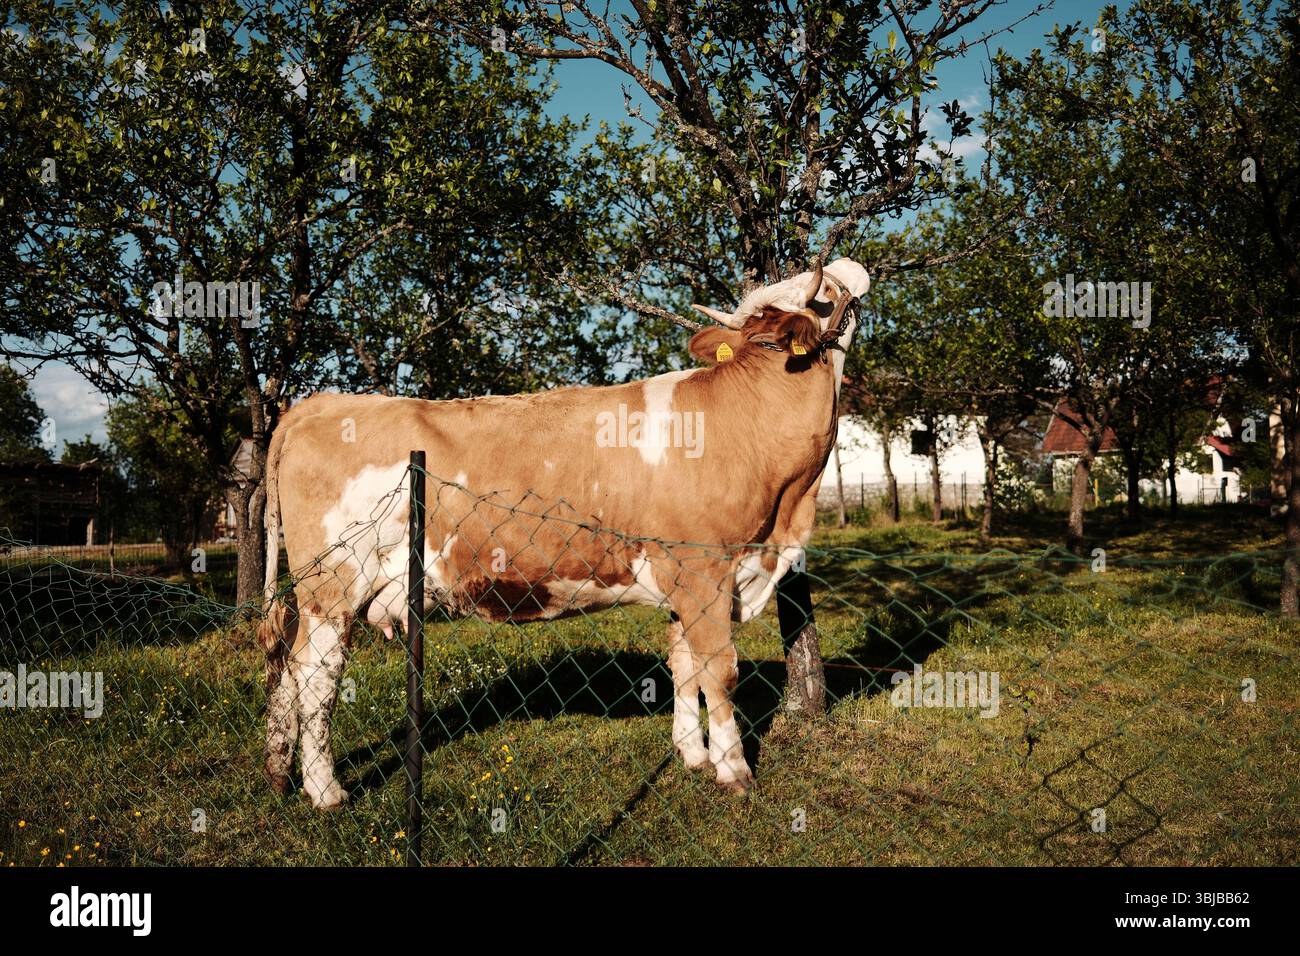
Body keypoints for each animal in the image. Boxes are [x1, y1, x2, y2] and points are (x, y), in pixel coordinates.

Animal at [256, 258, 870, 809]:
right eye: (824, 296)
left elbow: (683, 666)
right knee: (316, 679)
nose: (850, 266)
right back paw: (326, 792)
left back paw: (281, 775)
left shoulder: (682, 580)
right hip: (333, 585)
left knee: (288, 672)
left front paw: (692, 754)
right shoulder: (703, 570)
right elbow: (719, 670)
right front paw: (733, 770)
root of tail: (319, 405)